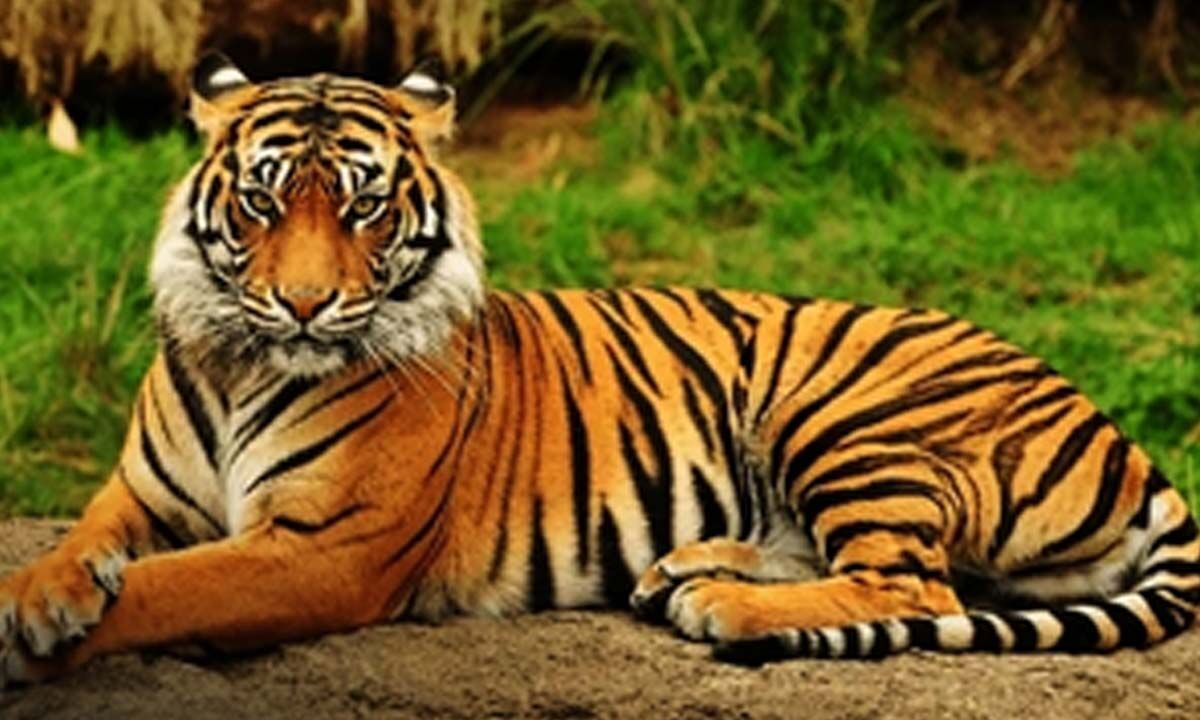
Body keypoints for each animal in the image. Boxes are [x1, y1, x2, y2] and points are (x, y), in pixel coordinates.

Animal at [1, 51, 1198, 686]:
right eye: (260, 201)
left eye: (363, 207)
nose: (303, 304)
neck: (241, 362)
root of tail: (1120, 434)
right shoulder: (140, 494)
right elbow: (86, 547)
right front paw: (41, 594)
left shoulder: (321, 550)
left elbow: (167, 589)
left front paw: (35, 640)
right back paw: (688, 570)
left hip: (845, 410)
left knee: (911, 580)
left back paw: (721, 608)